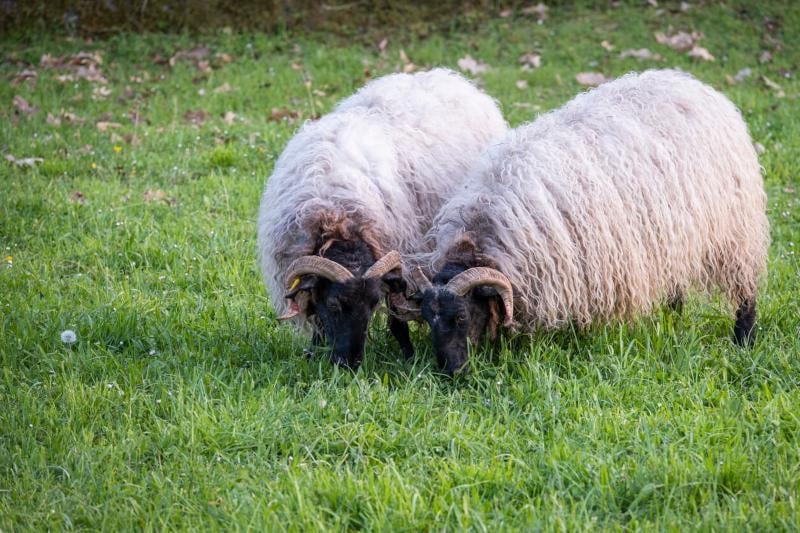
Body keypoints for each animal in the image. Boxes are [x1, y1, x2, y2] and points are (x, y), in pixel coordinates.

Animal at [257, 68, 508, 368]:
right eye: (334, 305)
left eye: (373, 303)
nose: (350, 364)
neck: (338, 218)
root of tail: (447, 76)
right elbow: (315, 313)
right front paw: (314, 350)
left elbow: (397, 320)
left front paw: (408, 356)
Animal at [406, 69, 769, 375]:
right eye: (427, 318)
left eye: (461, 316)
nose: (451, 372)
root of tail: (695, 86)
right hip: (674, 233)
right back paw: (673, 314)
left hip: (736, 229)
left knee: (745, 287)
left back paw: (744, 339)